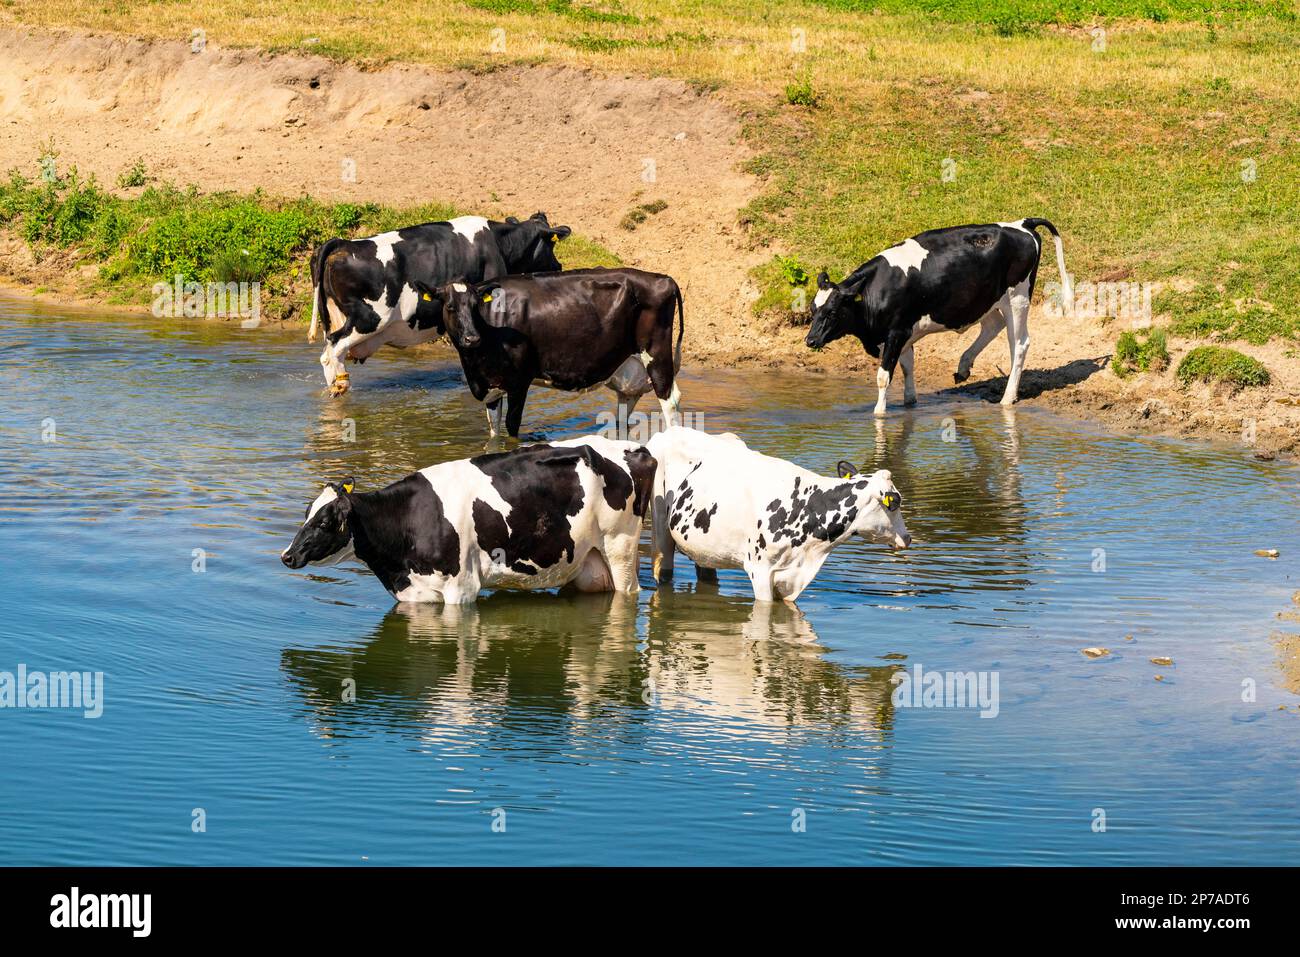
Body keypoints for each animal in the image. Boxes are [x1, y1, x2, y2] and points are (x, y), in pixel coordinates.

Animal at [280, 435, 656, 603]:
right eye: (306, 512)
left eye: (324, 521)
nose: (287, 556)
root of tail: (632, 447)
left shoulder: (461, 589)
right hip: (582, 561)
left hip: (620, 548)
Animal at [307, 211, 572, 396]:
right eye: (551, 244)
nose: (558, 266)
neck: (498, 242)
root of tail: (342, 243)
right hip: (368, 319)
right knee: (332, 352)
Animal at [430, 267, 684, 439]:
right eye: (450, 307)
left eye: (475, 306)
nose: (471, 338)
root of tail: (664, 278)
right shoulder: (491, 386)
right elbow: (494, 431)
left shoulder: (519, 382)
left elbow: (512, 427)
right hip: (629, 370)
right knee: (624, 415)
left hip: (657, 354)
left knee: (670, 401)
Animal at [644, 426, 911, 603]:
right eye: (894, 502)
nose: (907, 538)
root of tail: (671, 430)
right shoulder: (759, 570)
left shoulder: (790, 578)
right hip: (660, 530)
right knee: (663, 571)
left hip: (705, 546)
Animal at [804, 218, 1073, 415]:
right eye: (813, 310)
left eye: (832, 312)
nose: (810, 340)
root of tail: (1022, 224)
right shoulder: (904, 332)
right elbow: (907, 367)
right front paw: (910, 402)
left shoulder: (896, 332)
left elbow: (883, 376)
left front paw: (879, 413)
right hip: (985, 299)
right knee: (992, 325)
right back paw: (963, 366)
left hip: (1017, 297)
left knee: (1019, 344)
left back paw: (1007, 397)